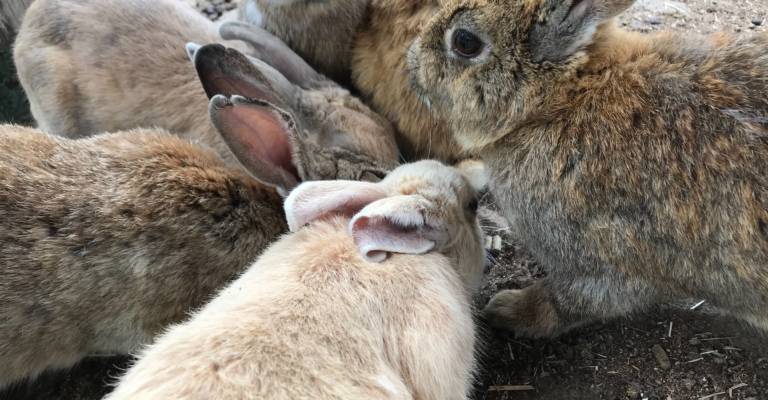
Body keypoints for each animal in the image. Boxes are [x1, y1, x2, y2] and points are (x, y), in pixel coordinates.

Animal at [405, 0, 768, 338]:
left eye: (465, 41)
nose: (411, 60)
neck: (560, 100)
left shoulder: (601, 259)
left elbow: (570, 300)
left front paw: (507, 309)